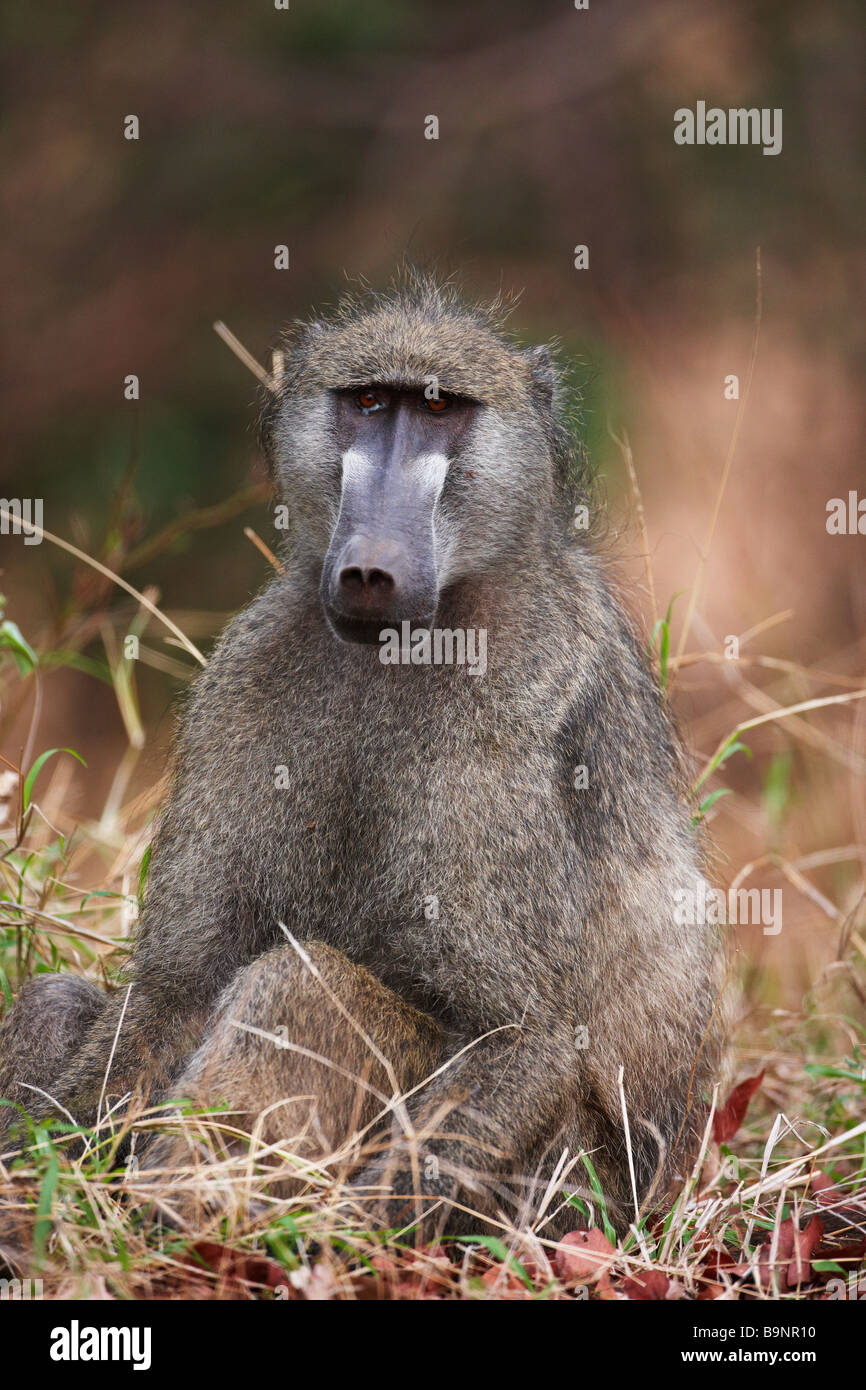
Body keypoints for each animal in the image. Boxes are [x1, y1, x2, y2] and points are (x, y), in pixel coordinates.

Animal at [0, 271, 723, 1236]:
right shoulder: (242, 684)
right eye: (371, 404)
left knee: (299, 982)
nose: (371, 566)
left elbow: (525, 1036)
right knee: (60, 999)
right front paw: (43, 1176)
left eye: (440, 409)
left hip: (558, 1199)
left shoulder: (509, 729)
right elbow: (174, 990)